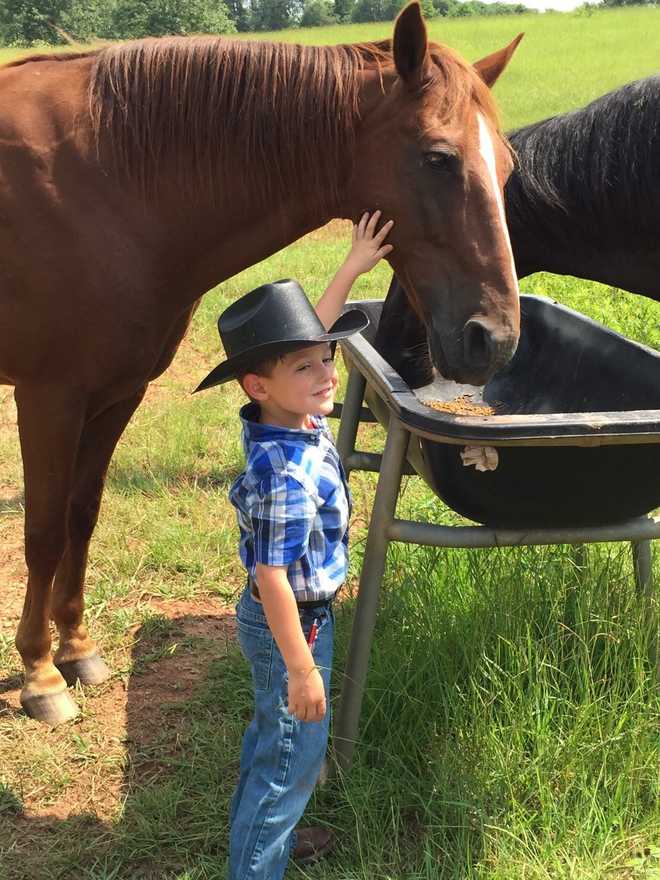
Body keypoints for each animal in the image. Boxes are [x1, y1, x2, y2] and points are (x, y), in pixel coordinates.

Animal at [0, 3, 522, 725]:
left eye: (507, 165)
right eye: (439, 158)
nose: (493, 339)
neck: (104, 181)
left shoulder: (116, 391)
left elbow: (82, 515)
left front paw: (76, 649)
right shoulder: (49, 396)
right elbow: (45, 530)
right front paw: (40, 674)